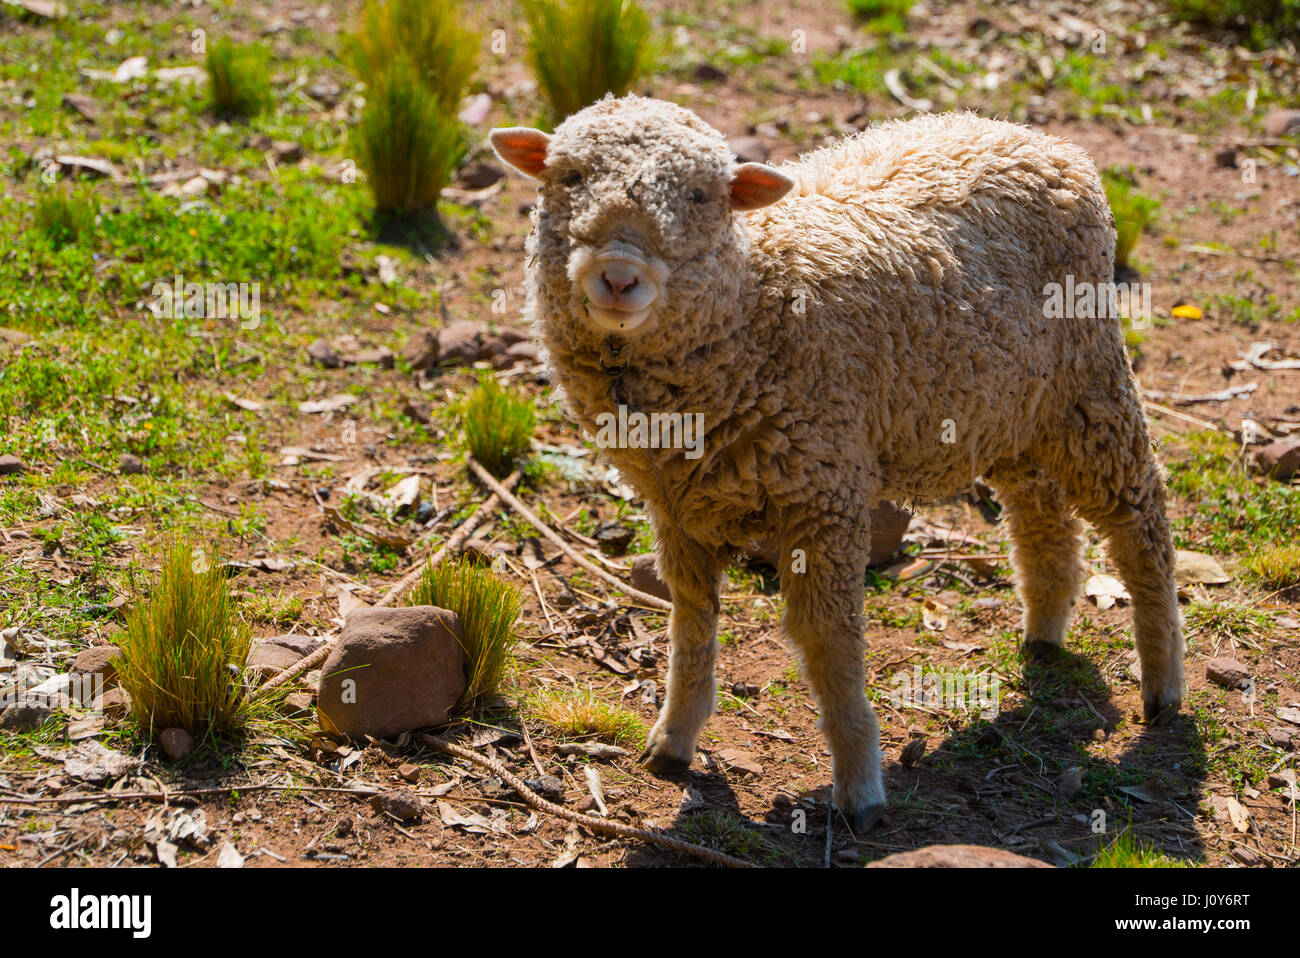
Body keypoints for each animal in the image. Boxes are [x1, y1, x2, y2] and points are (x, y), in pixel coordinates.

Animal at [490, 95, 1185, 832]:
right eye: (569, 176)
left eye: (703, 196)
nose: (620, 276)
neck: (757, 297)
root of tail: (1033, 138)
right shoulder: (678, 506)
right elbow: (691, 620)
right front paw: (675, 736)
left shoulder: (823, 496)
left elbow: (829, 645)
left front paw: (860, 784)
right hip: (1009, 407)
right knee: (1041, 514)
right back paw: (1045, 631)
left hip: (1089, 385)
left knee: (1141, 520)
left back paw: (1163, 683)